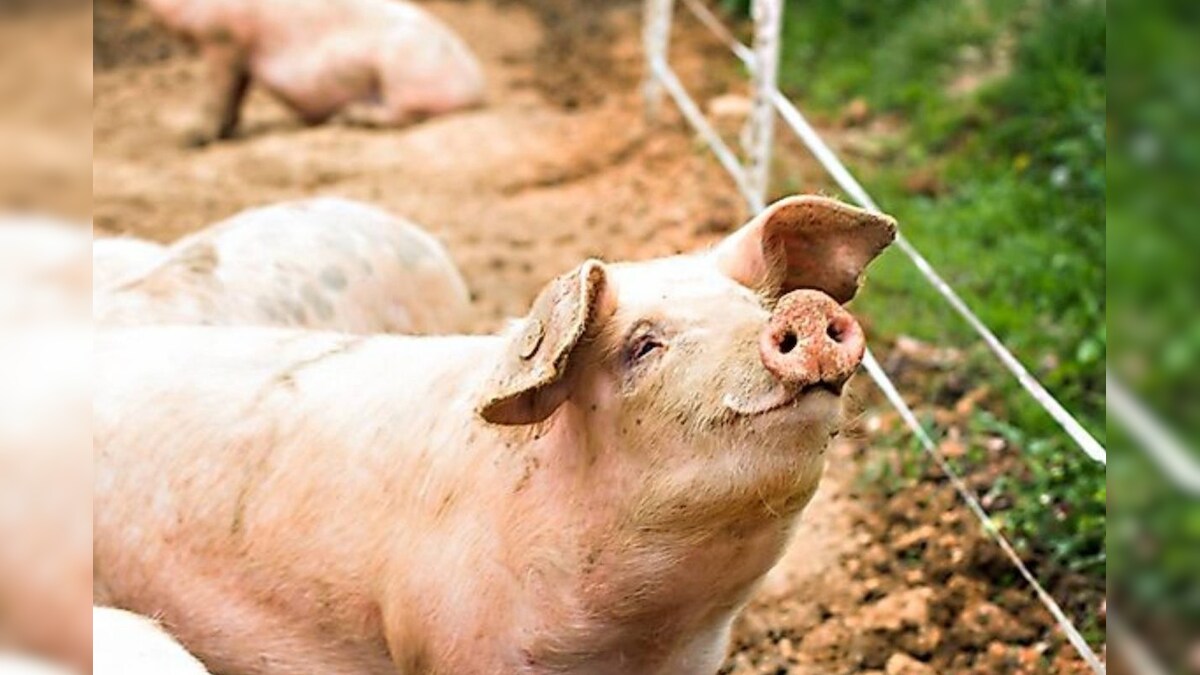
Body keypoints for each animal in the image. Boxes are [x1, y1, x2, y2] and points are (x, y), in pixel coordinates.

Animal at [140, 0, 486, 145]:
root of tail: (478, 87)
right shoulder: (242, 53)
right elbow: (235, 94)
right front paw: (229, 132)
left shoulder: (222, 38)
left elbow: (216, 92)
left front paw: (192, 140)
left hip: (405, 69)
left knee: (405, 115)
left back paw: (349, 117)